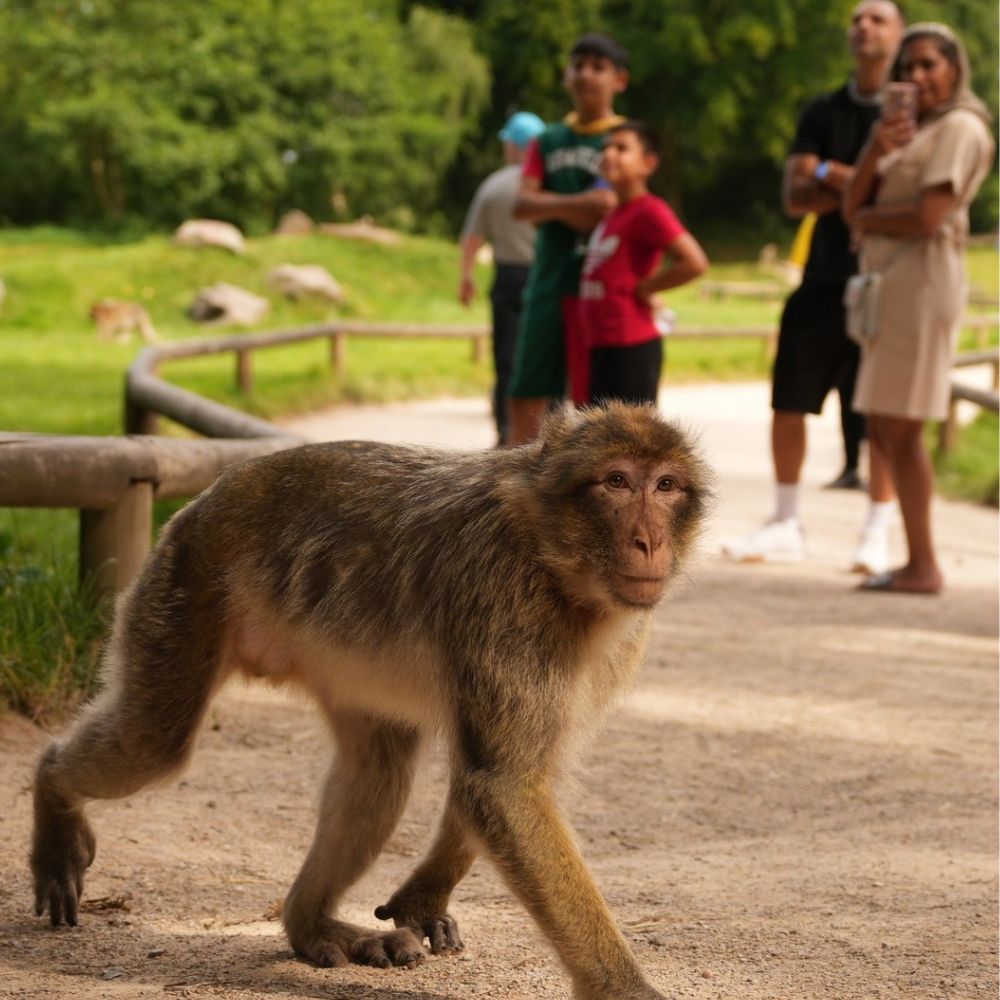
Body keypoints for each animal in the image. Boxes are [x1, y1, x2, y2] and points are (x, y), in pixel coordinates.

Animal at [30, 402, 710, 1000]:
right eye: (617, 482)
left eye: (666, 486)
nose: (649, 542)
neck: (551, 556)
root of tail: (204, 499)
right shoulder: (505, 600)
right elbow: (505, 784)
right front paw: (623, 987)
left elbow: (499, 778)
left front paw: (426, 893)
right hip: (184, 582)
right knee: (155, 742)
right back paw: (53, 791)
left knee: (379, 766)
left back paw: (310, 923)